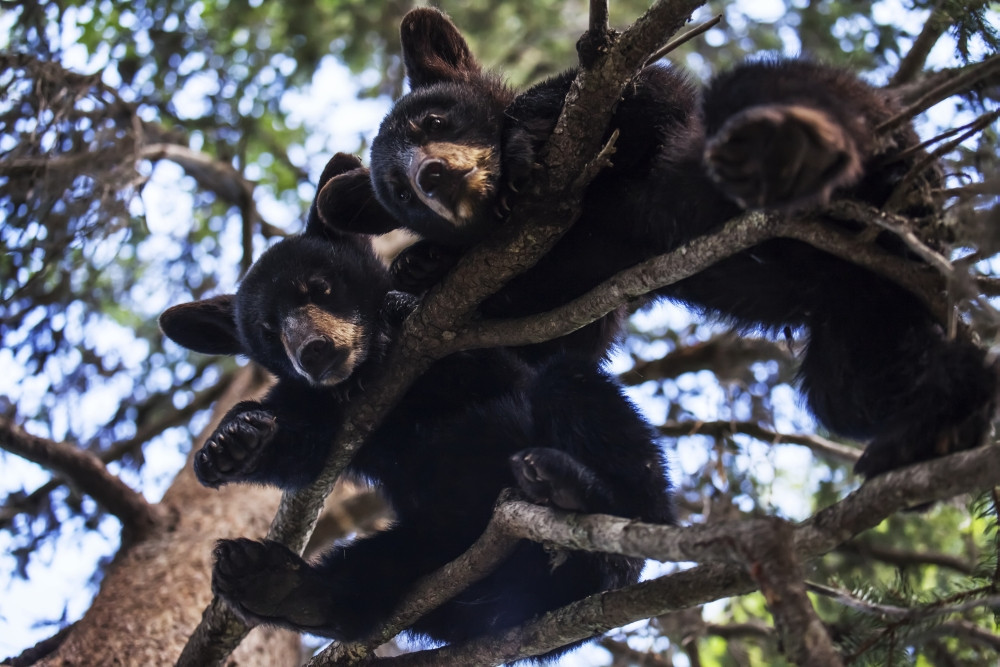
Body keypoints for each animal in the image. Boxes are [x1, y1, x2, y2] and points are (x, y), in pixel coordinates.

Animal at [157, 153, 674, 655]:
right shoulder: (320, 404)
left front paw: (397, 310)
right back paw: (276, 584)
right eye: (268, 330)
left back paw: (581, 496)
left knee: (576, 392)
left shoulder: (466, 342)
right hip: (433, 543)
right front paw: (231, 443)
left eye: (320, 287)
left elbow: (485, 364)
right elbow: (305, 448)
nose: (314, 351)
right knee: (378, 564)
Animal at [316, 8, 997, 479]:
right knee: (847, 394)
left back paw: (800, 145)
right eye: (398, 192)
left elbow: (645, 91)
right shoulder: (565, 271)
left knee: (771, 86)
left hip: (884, 154)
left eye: (434, 120)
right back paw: (933, 422)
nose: (431, 176)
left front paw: (524, 139)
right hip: (860, 318)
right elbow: (549, 341)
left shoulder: (629, 136)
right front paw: (417, 268)